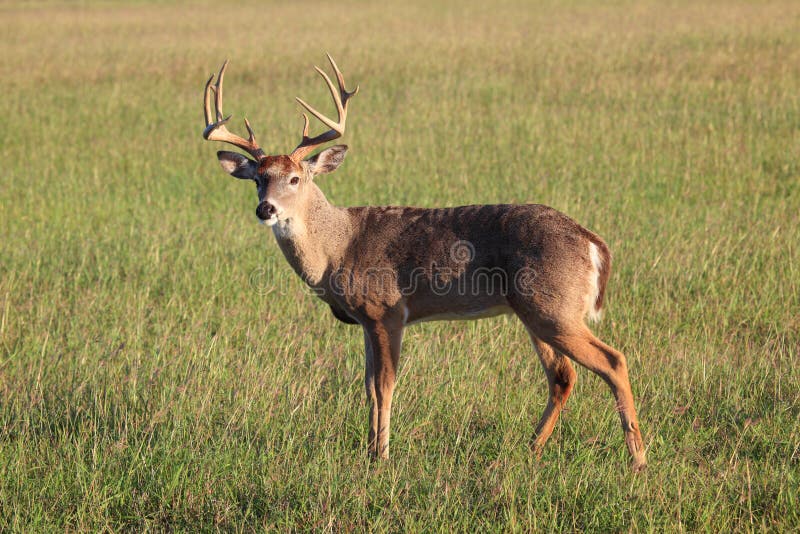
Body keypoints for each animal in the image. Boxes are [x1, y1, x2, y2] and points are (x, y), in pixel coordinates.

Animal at [201, 54, 647, 471]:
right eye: (258, 178)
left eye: (295, 178)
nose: (266, 209)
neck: (338, 247)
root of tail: (592, 243)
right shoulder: (366, 320)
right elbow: (367, 385)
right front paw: (369, 450)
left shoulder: (387, 310)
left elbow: (384, 386)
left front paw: (381, 456)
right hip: (538, 312)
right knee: (563, 376)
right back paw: (530, 448)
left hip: (553, 308)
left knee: (613, 361)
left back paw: (638, 458)